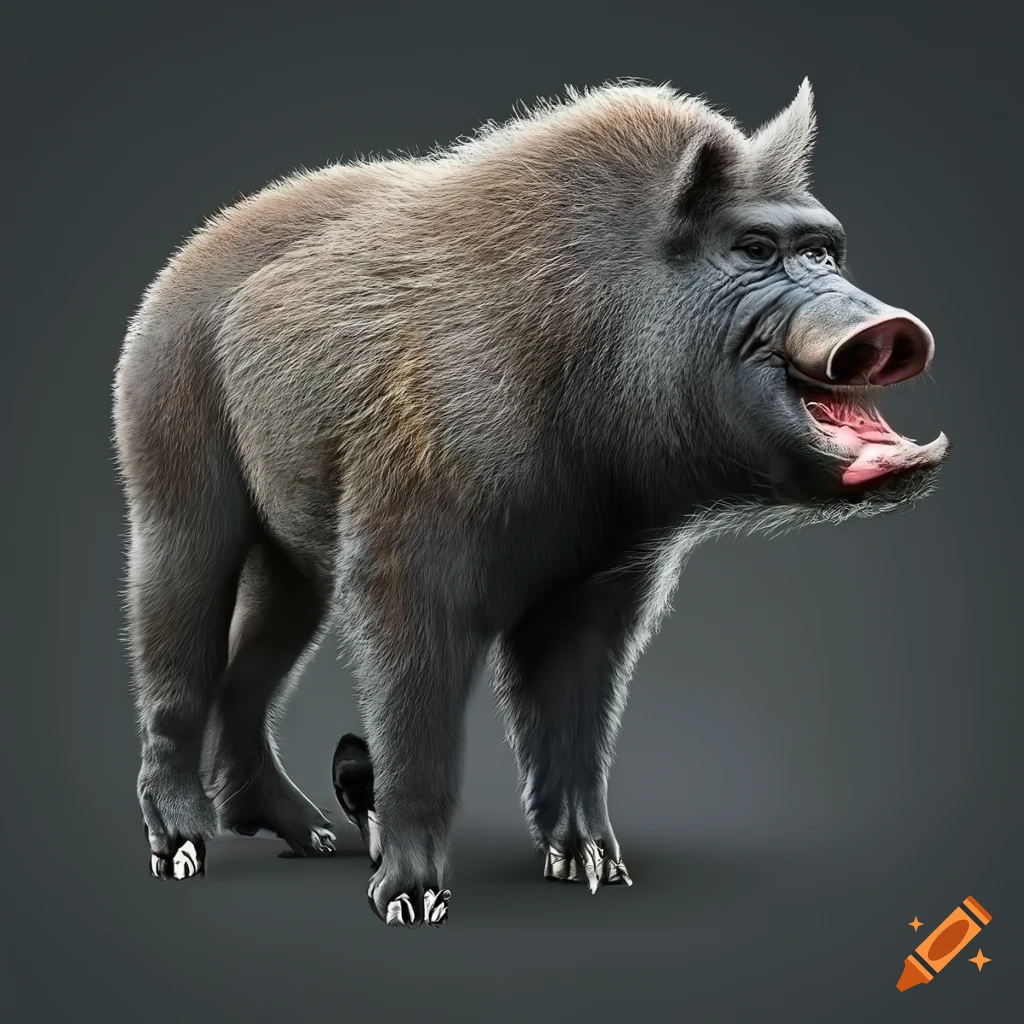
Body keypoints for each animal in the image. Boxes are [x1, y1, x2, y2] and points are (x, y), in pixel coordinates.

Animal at [112, 79, 949, 927]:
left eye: (823, 251)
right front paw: (411, 903)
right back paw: (182, 854)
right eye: (754, 249)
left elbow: (574, 721)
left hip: (291, 558)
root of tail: (173, 272)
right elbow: (417, 719)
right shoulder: (403, 547)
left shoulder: (605, 578)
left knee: (252, 664)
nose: (897, 328)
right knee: (178, 641)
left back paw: (311, 838)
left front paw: (597, 871)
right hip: (168, 463)